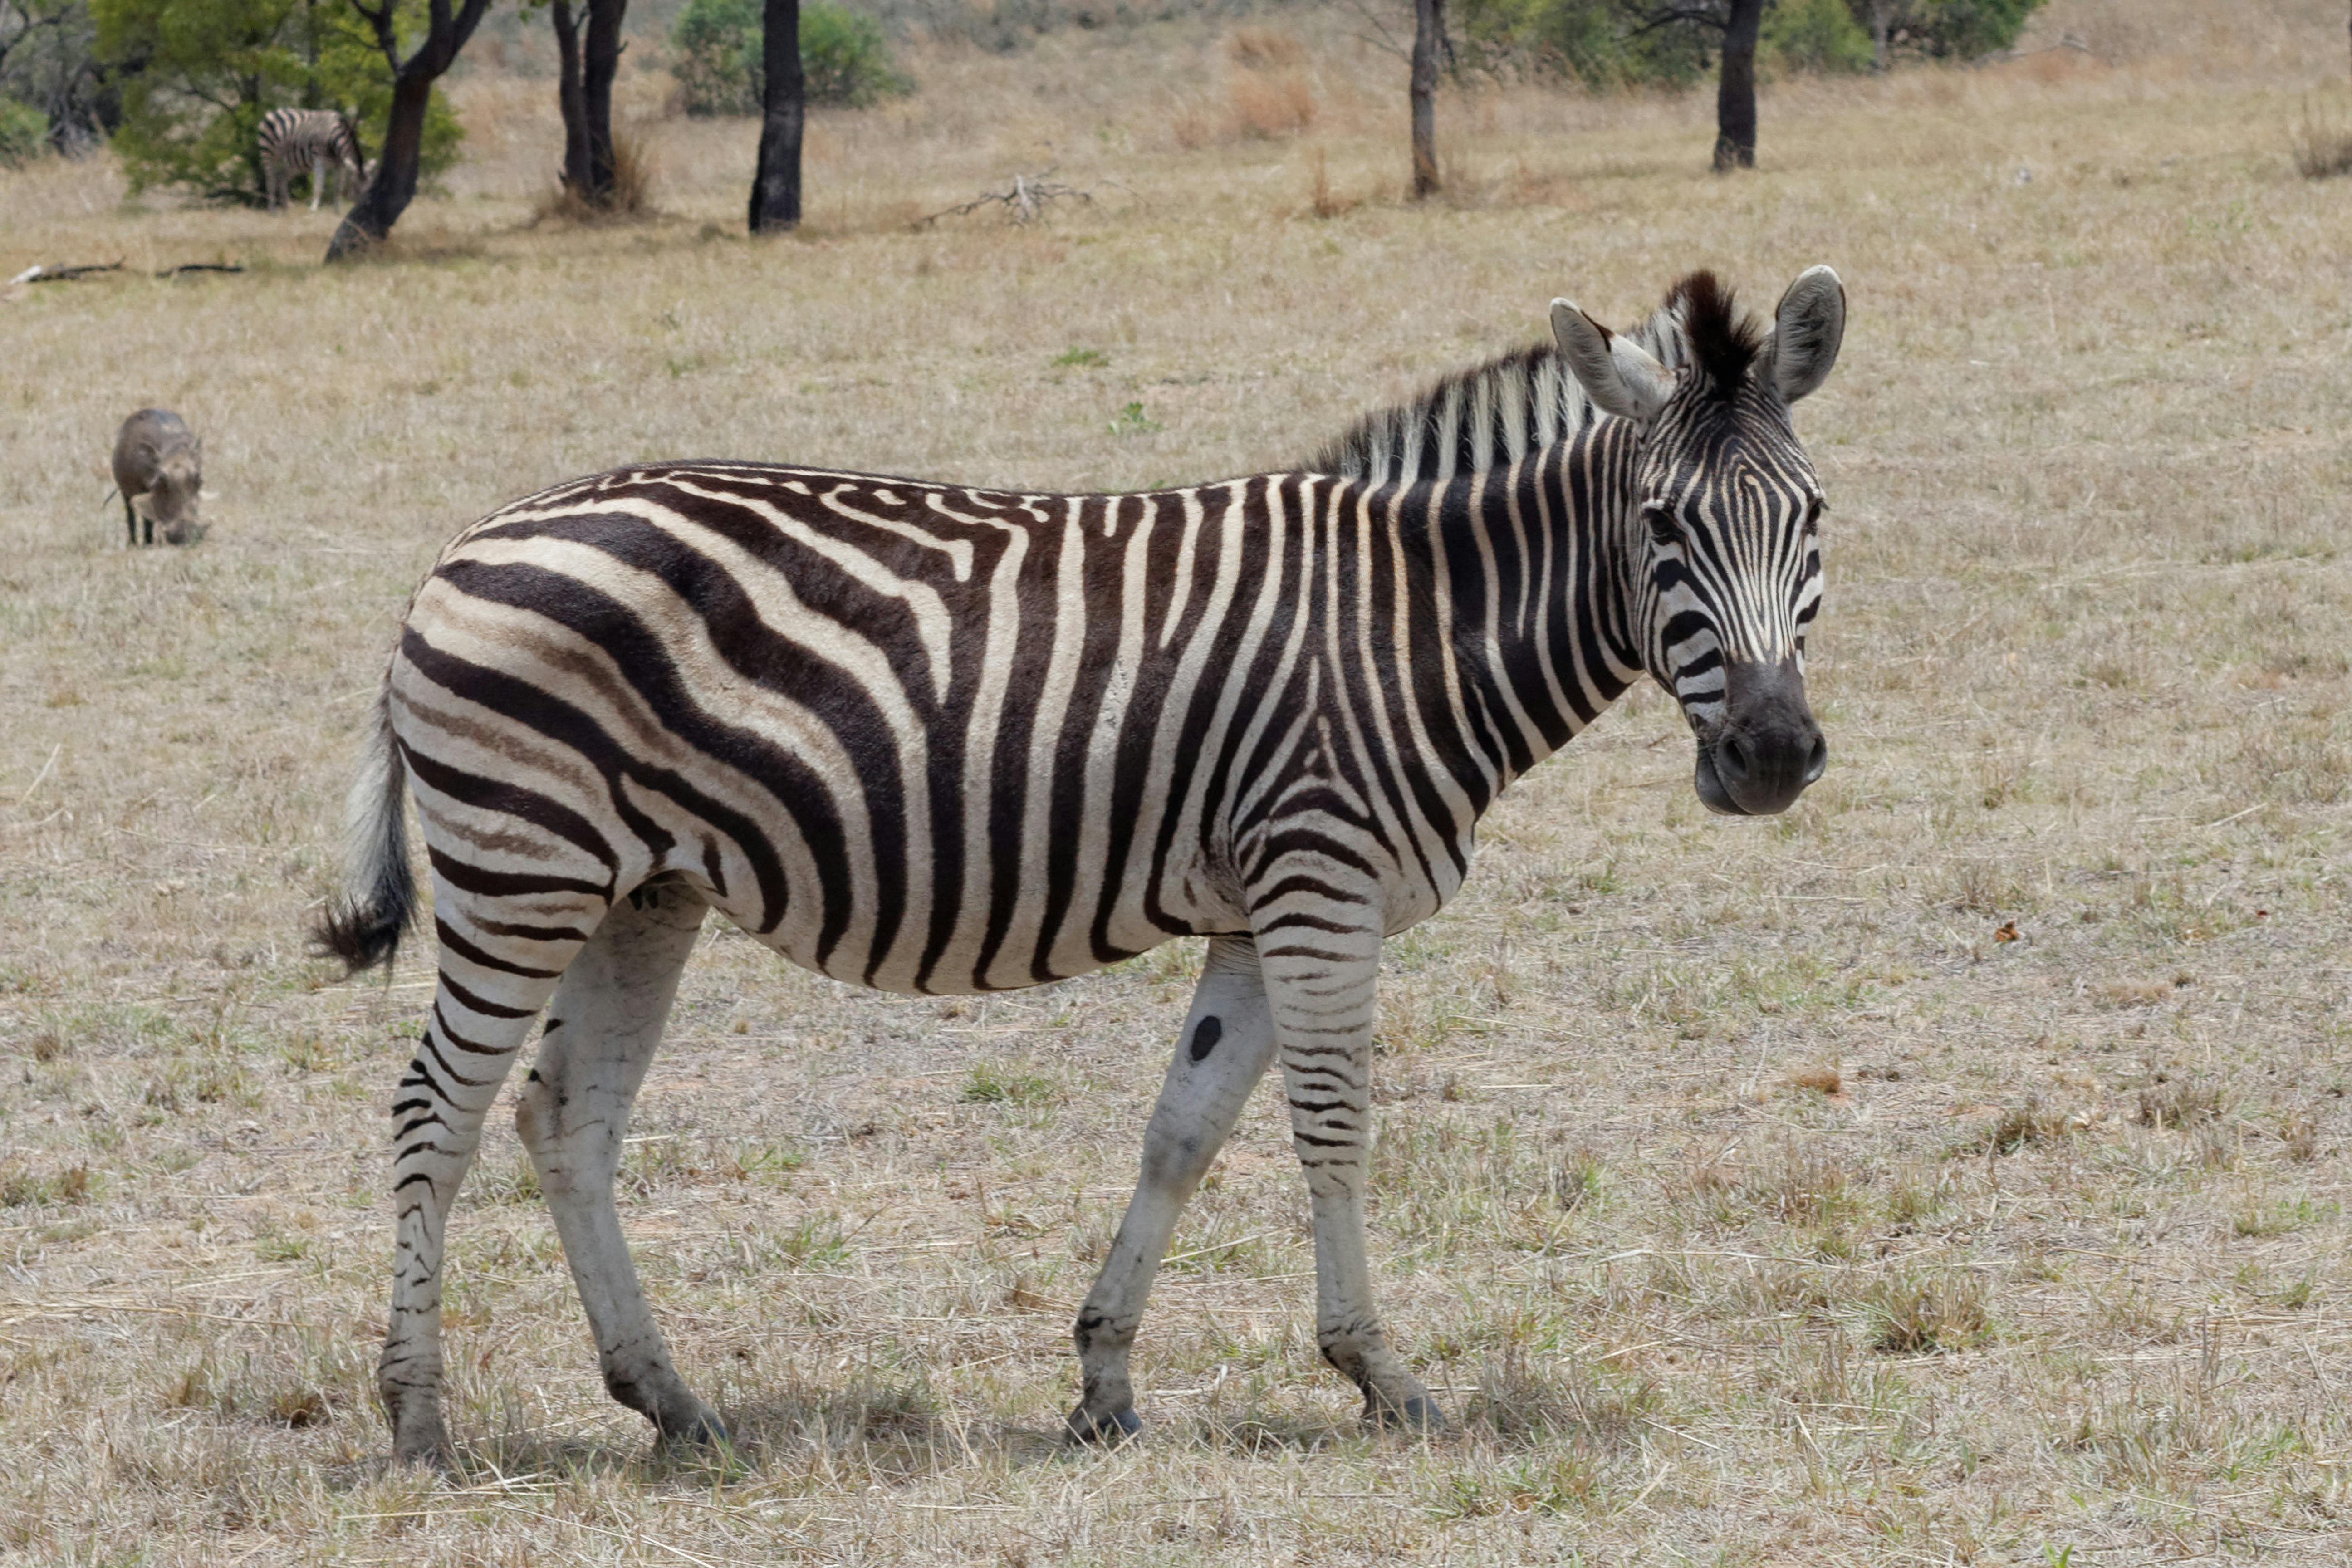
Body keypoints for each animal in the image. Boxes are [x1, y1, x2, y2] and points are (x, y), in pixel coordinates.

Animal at [258, 108, 365, 211]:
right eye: (357, 189)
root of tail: (273, 112)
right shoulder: (319, 159)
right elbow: (318, 186)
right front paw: (313, 208)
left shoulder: (340, 164)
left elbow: (339, 188)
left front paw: (337, 210)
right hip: (267, 153)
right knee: (270, 181)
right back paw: (273, 210)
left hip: (294, 163)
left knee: (282, 177)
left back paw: (286, 207)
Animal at [317, 265, 1846, 1462]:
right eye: (1662, 527)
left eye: (1815, 518)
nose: (1771, 757)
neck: (1414, 621)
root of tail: (457, 549)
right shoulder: (1322, 881)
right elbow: (1334, 1126)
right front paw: (1382, 1375)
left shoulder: (1258, 913)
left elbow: (1185, 1130)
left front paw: (1105, 1379)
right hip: (523, 874)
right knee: (435, 1114)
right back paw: (421, 1420)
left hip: (641, 894)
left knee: (564, 1120)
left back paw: (673, 1403)